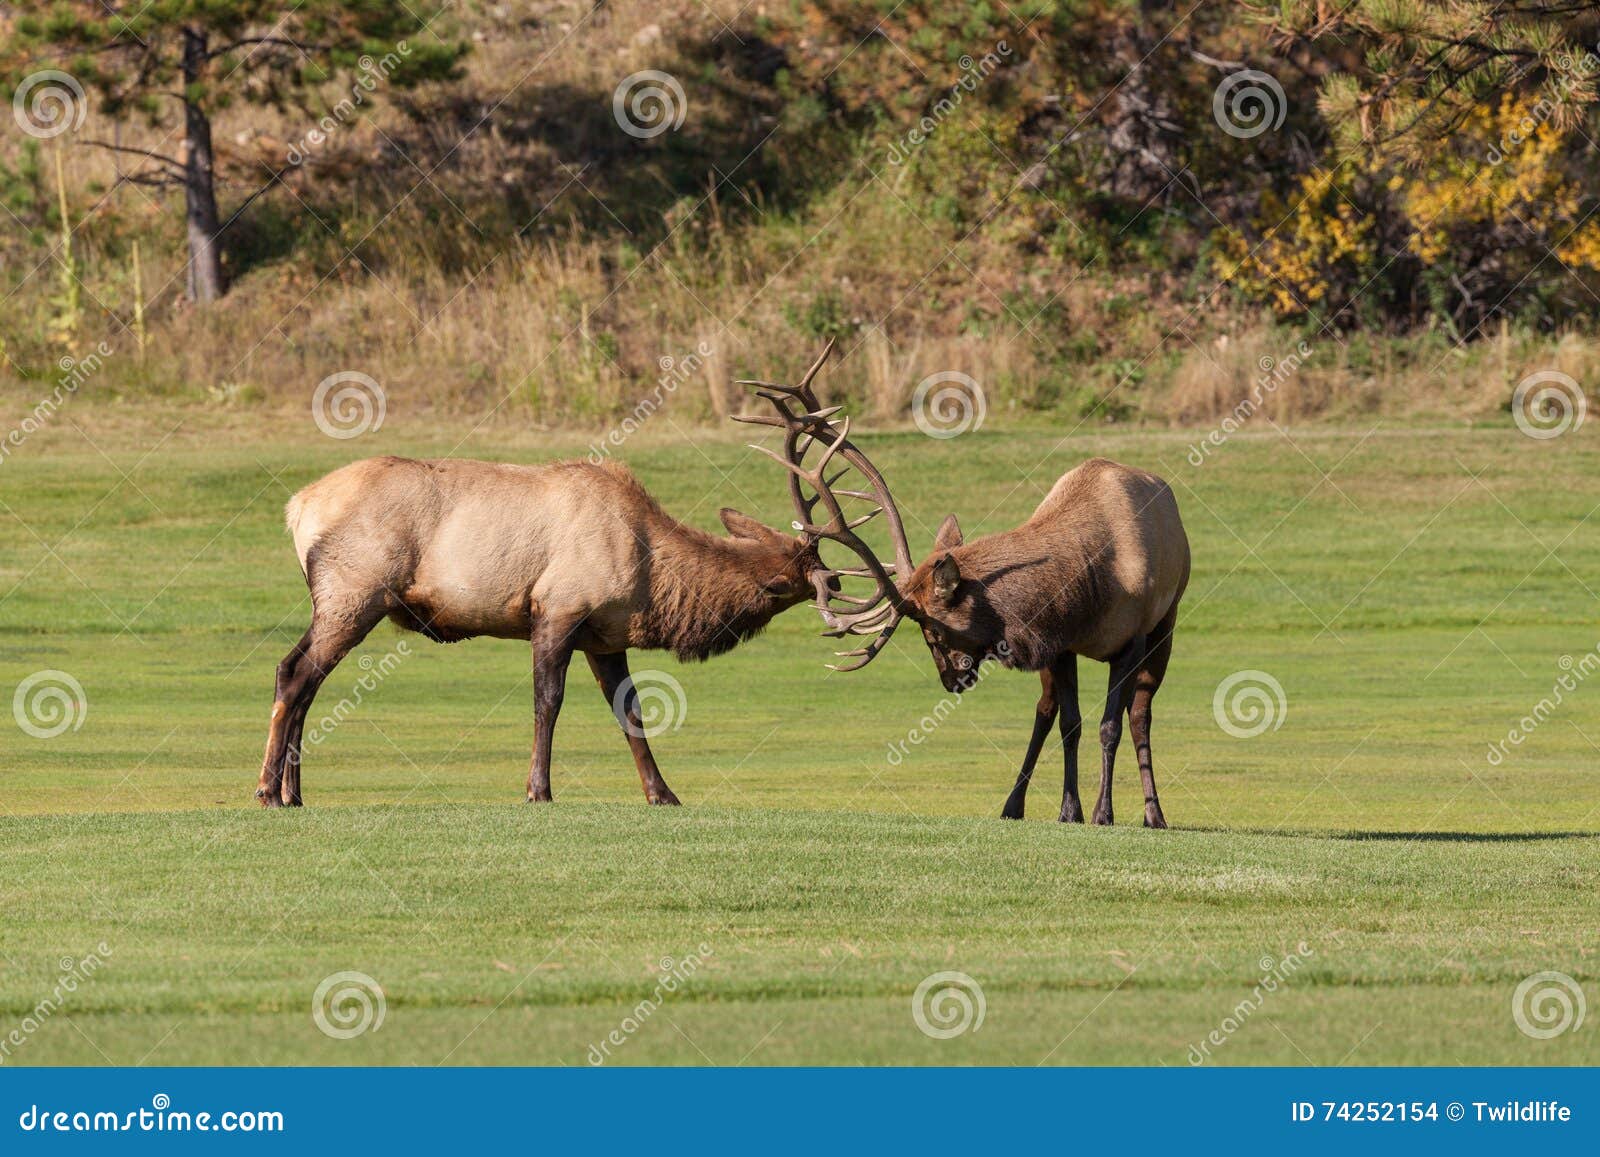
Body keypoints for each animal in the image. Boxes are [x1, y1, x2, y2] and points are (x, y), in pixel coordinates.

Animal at [256, 454, 834, 808]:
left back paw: (294, 793)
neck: (652, 580)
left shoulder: (605, 636)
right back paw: (267, 790)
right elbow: (548, 701)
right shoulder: (557, 609)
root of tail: (296, 507)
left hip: (341, 603)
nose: (841, 583)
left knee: (306, 683)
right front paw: (538, 789)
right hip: (353, 595)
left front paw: (662, 793)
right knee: (293, 673)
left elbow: (631, 712)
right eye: (806, 574)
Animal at [736, 341, 1191, 828]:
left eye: (934, 632)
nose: (950, 681)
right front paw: (1070, 810)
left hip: (1166, 624)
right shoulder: (1059, 642)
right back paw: (1015, 803)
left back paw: (1154, 813)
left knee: (1139, 714)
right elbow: (1071, 723)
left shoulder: (1131, 637)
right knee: (1046, 712)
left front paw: (1104, 812)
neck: (1089, 589)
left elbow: (1111, 725)